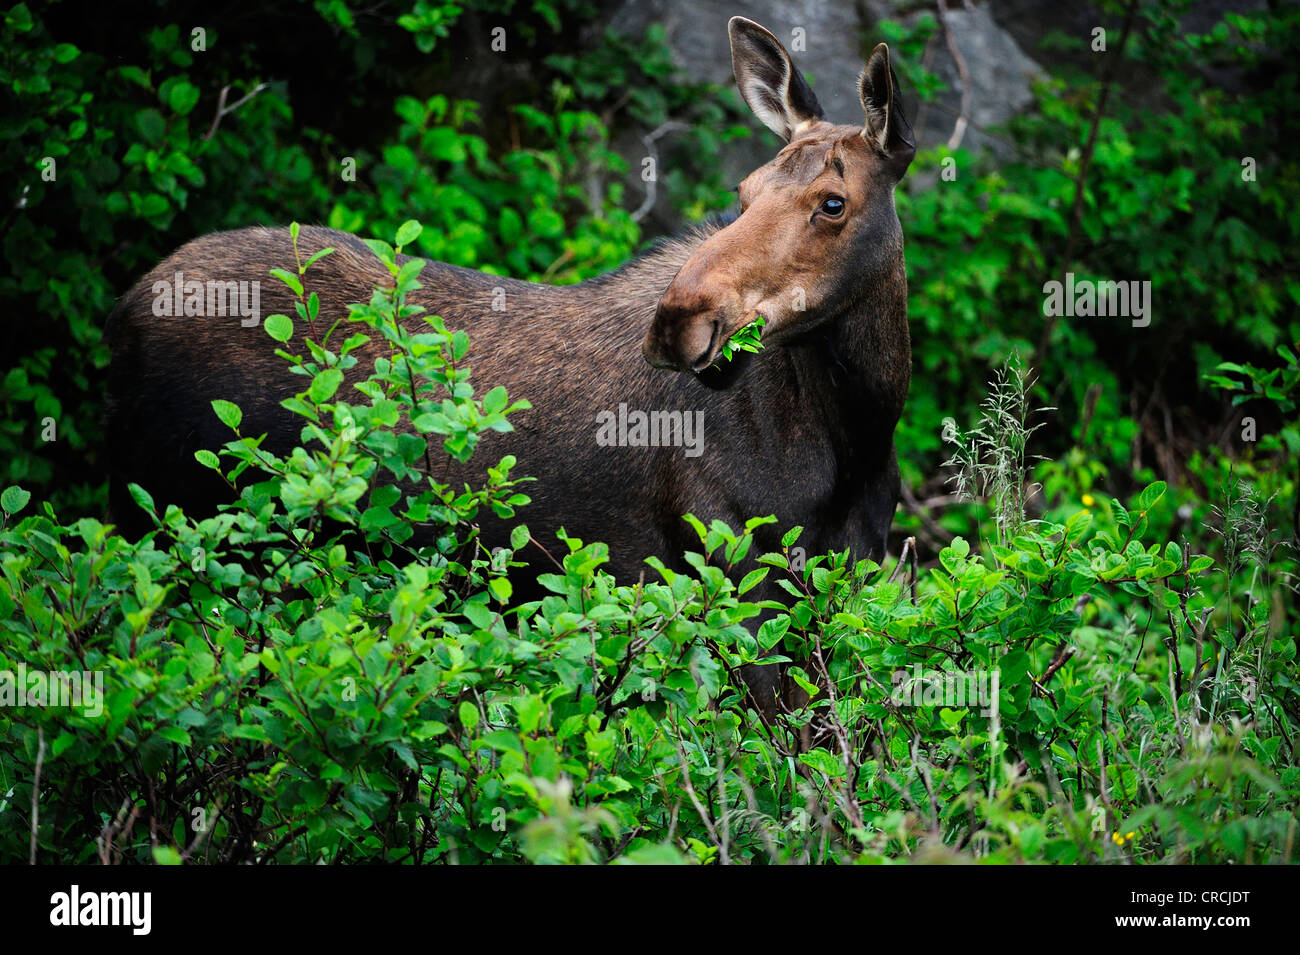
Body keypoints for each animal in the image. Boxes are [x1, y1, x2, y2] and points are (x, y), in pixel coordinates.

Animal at [105, 17, 916, 721]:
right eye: (742, 194)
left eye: (833, 202)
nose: (680, 320)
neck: (856, 434)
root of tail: (125, 307)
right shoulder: (735, 587)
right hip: (170, 525)